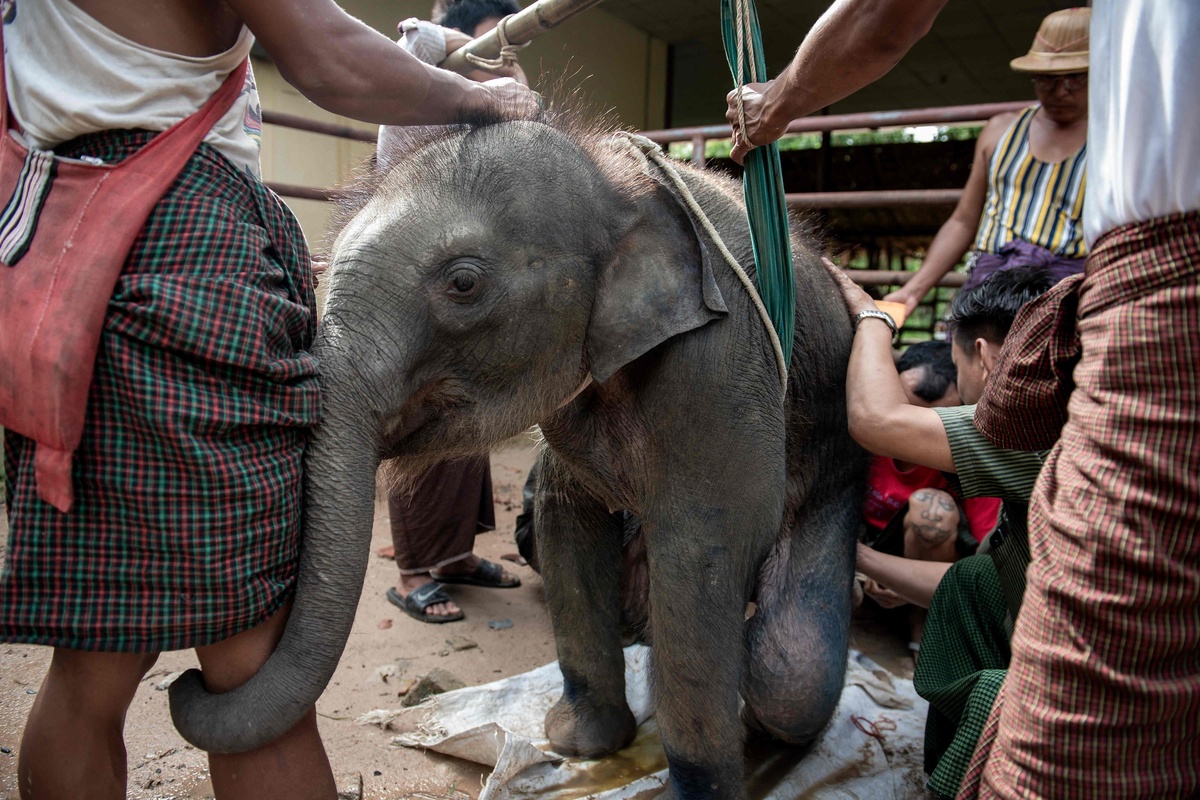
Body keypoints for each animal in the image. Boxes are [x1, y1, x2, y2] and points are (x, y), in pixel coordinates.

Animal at [168, 104, 867, 800]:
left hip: (838, 456)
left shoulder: (724, 359)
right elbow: (567, 524)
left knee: (789, 675)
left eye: (463, 283)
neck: (619, 188)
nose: (188, 678)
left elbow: (704, 551)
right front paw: (578, 743)